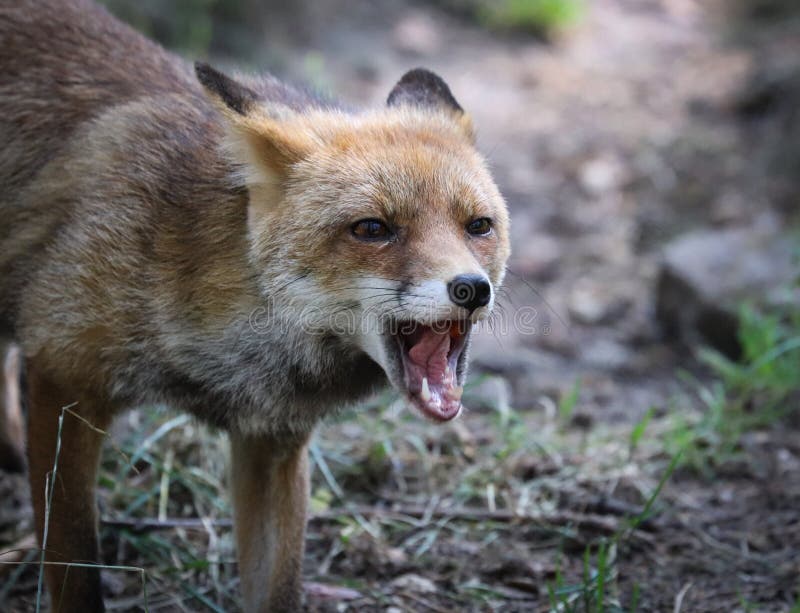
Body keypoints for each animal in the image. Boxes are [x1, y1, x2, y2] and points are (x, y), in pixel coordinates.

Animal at [0, 0, 510, 610]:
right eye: (373, 229)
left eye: (478, 226)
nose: (471, 288)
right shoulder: (64, 380)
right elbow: (76, 569)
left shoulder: (273, 438)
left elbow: (278, 588)